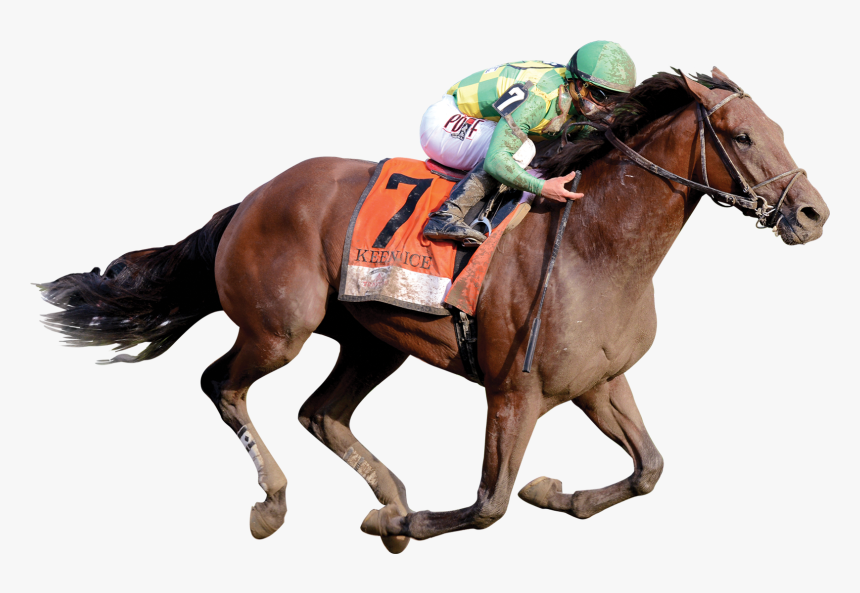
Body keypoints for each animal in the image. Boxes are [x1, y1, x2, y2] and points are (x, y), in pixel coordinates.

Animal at [39, 69, 829, 554]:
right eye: (744, 136)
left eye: (780, 127)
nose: (813, 213)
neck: (597, 246)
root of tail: (251, 199)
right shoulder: (515, 392)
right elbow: (488, 504)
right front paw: (405, 521)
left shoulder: (598, 381)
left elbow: (650, 468)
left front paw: (555, 492)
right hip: (278, 328)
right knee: (221, 384)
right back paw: (278, 501)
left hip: (371, 341)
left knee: (321, 412)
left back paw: (384, 489)